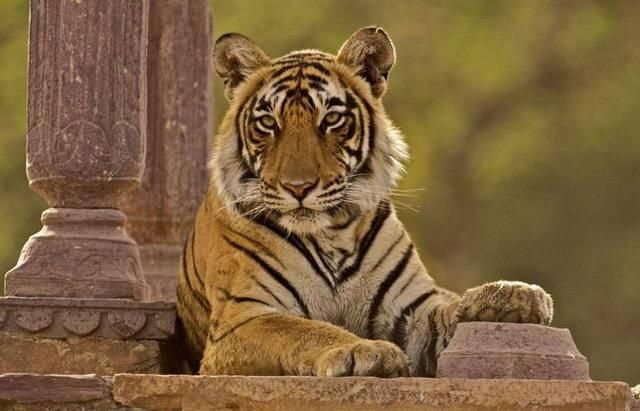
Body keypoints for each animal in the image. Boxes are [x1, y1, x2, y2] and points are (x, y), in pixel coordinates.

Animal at [176, 27, 553, 377]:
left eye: (331, 119)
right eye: (268, 123)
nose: (298, 187)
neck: (332, 235)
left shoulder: (410, 310)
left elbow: (448, 312)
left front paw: (515, 295)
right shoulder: (244, 318)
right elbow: (305, 331)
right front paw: (365, 350)